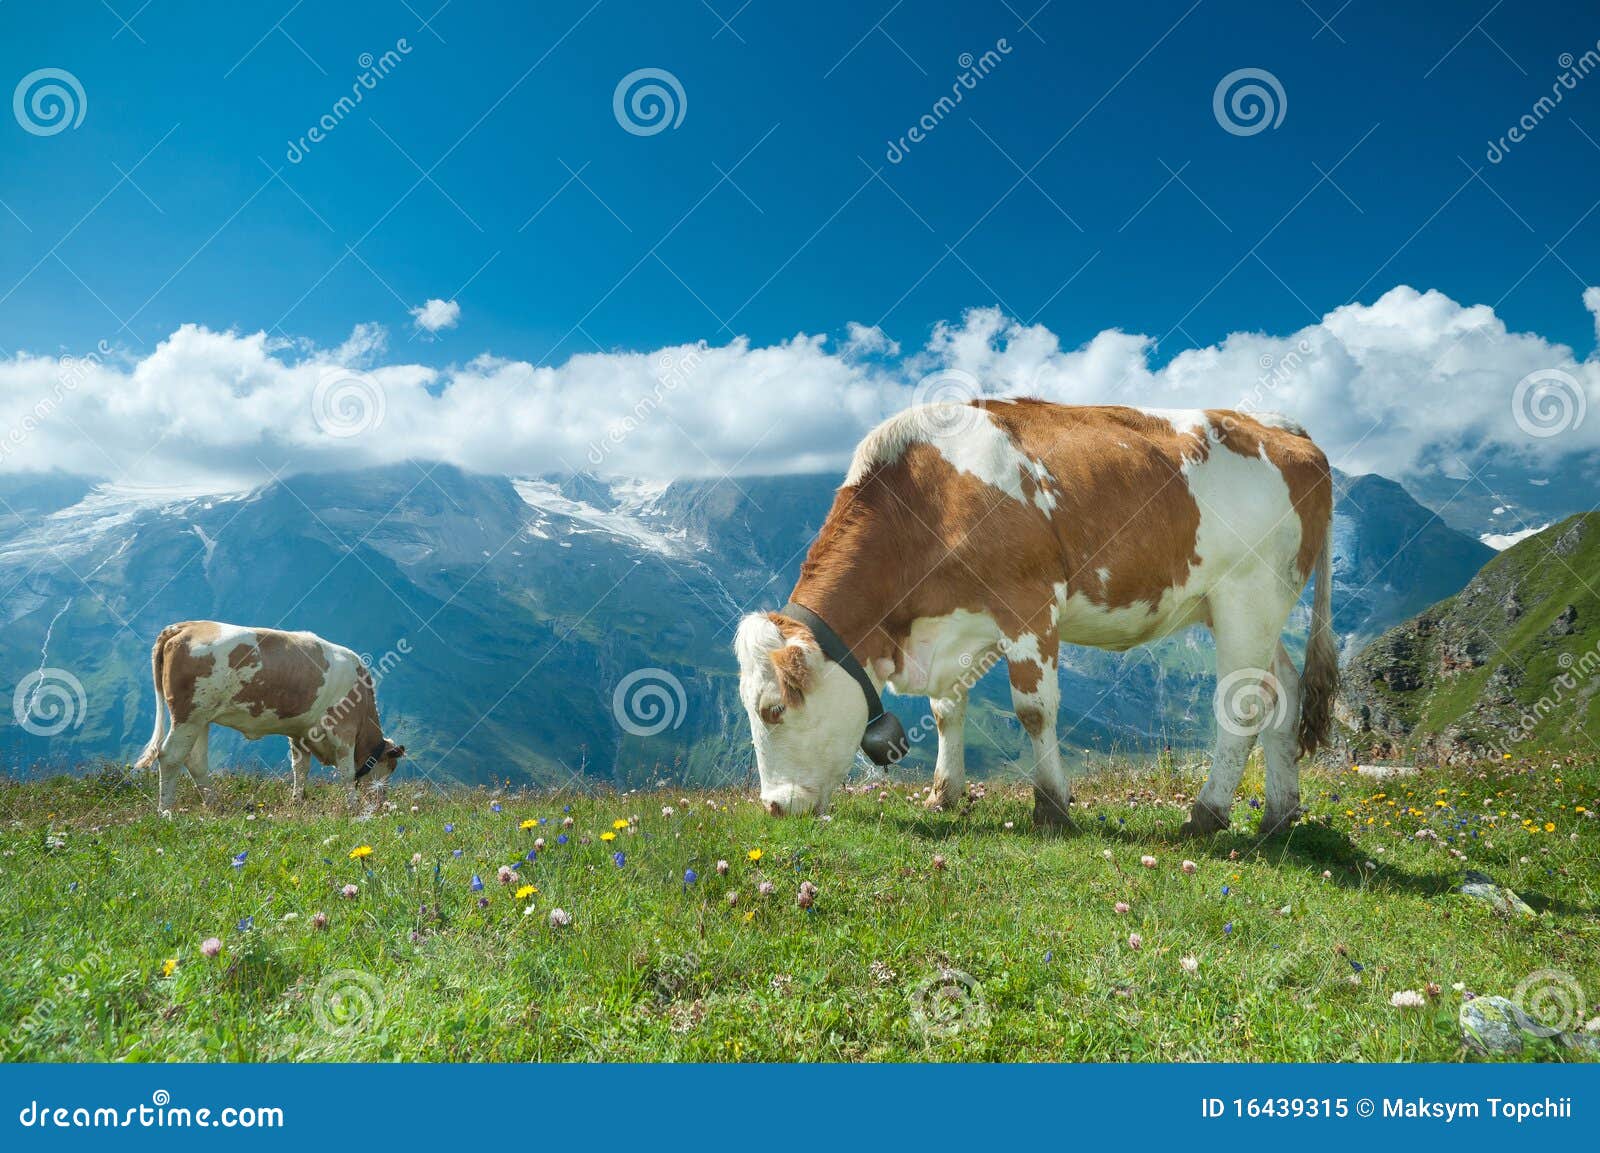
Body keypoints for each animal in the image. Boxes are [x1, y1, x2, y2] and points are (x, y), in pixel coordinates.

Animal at [134, 621, 405, 816]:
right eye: (390, 769)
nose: (381, 803)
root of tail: (185, 625)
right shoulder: (343, 730)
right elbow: (347, 772)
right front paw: (353, 807)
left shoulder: (300, 733)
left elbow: (300, 769)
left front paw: (297, 802)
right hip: (188, 715)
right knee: (170, 756)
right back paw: (165, 811)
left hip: (201, 720)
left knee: (195, 761)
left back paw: (215, 805)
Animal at [735, 400, 1337, 835]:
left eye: (772, 710)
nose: (773, 807)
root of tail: (1278, 425)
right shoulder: (957, 625)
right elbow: (946, 712)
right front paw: (943, 794)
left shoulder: (1028, 606)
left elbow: (1033, 711)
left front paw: (1052, 806)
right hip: (1250, 607)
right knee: (1283, 690)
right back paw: (1280, 815)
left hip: (1248, 595)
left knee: (1244, 704)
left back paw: (1206, 815)